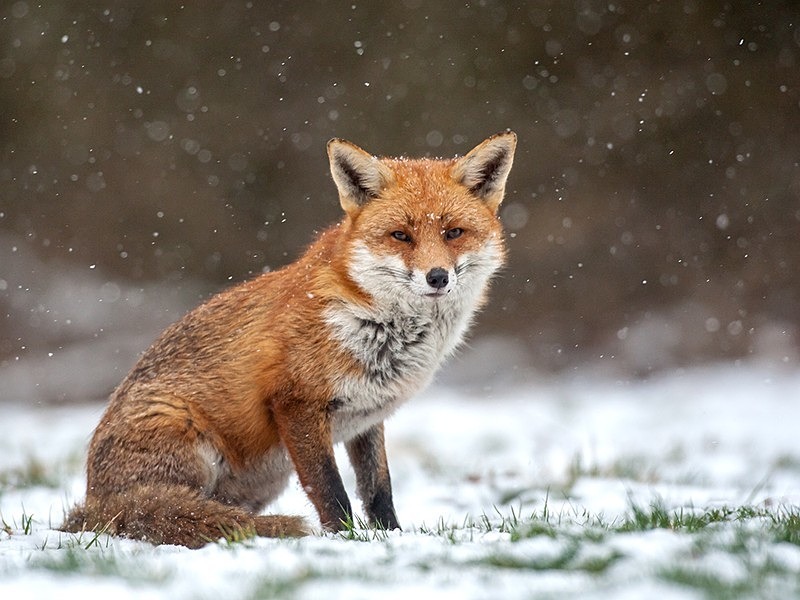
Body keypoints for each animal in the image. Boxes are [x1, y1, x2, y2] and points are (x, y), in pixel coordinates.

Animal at [62, 131, 517, 547]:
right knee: (166, 515)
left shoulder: (368, 416)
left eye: (454, 232)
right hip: (190, 440)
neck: (382, 326)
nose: (437, 277)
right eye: (401, 236)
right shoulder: (295, 403)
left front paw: (393, 538)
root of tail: (95, 505)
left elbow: (378, 490)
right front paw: (345, 541)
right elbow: (330, 490)